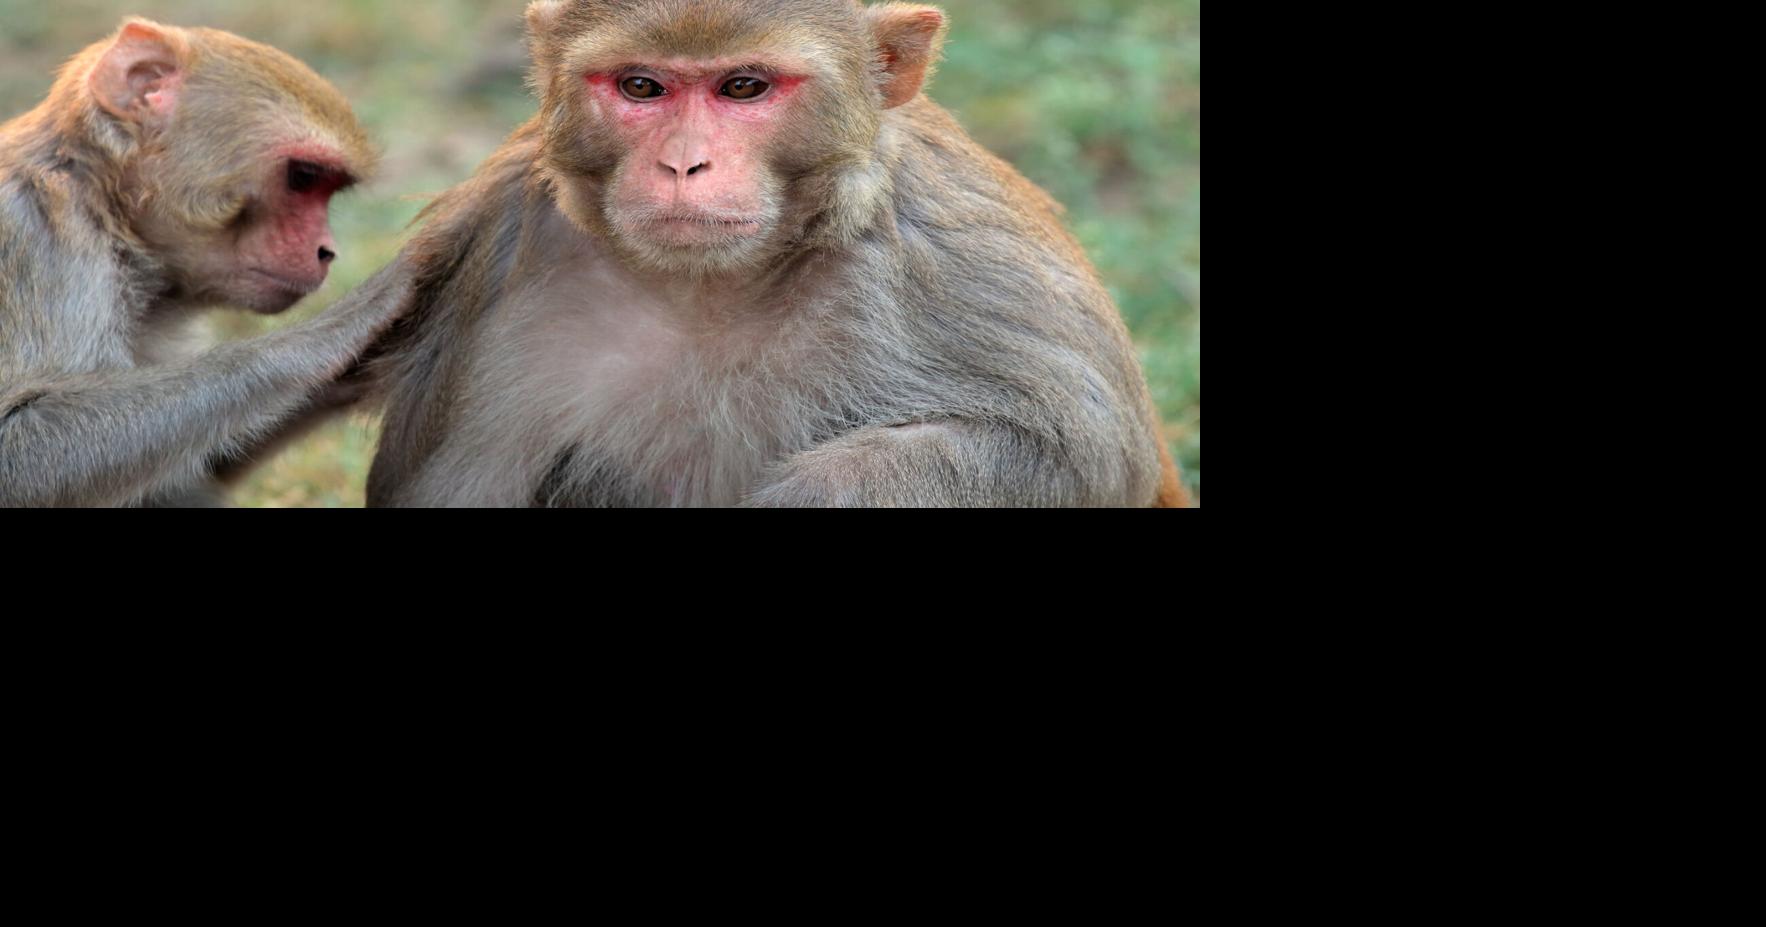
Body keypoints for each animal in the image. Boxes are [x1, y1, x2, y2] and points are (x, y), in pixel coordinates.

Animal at [0, 19, 412, 508]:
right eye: (303, 177)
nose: (326, 250)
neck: (103, 206)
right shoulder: (33, 241)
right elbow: (20, 454)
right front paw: (347, 321)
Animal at [357, 0, 1188, 508]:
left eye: (744, 87)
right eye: (641, 86)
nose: (683, 164)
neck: (711, 289)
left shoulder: (954, 260)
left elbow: (1082, 450)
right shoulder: (512, 264)